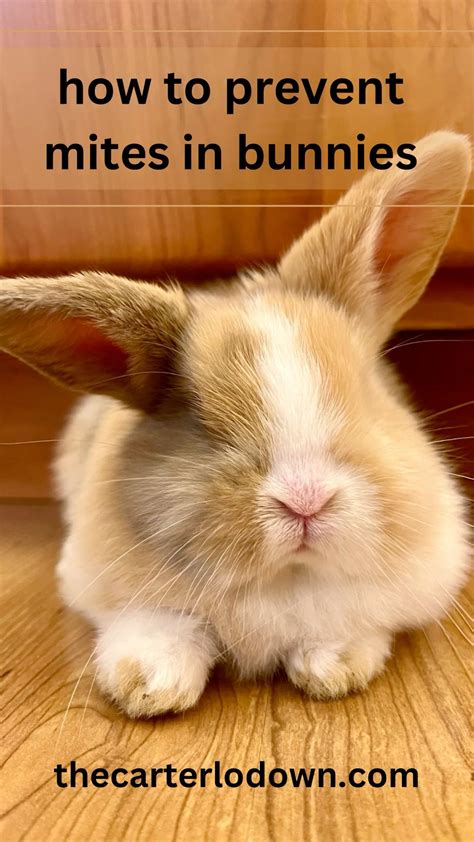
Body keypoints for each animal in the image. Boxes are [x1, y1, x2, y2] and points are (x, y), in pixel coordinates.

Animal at [0, 131, 471, 718]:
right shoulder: (123, 594)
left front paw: (333, 669)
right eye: (202, 422)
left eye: (364, 390)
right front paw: (149, 686)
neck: (282, 583)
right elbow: (157, 629)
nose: (306, 499)